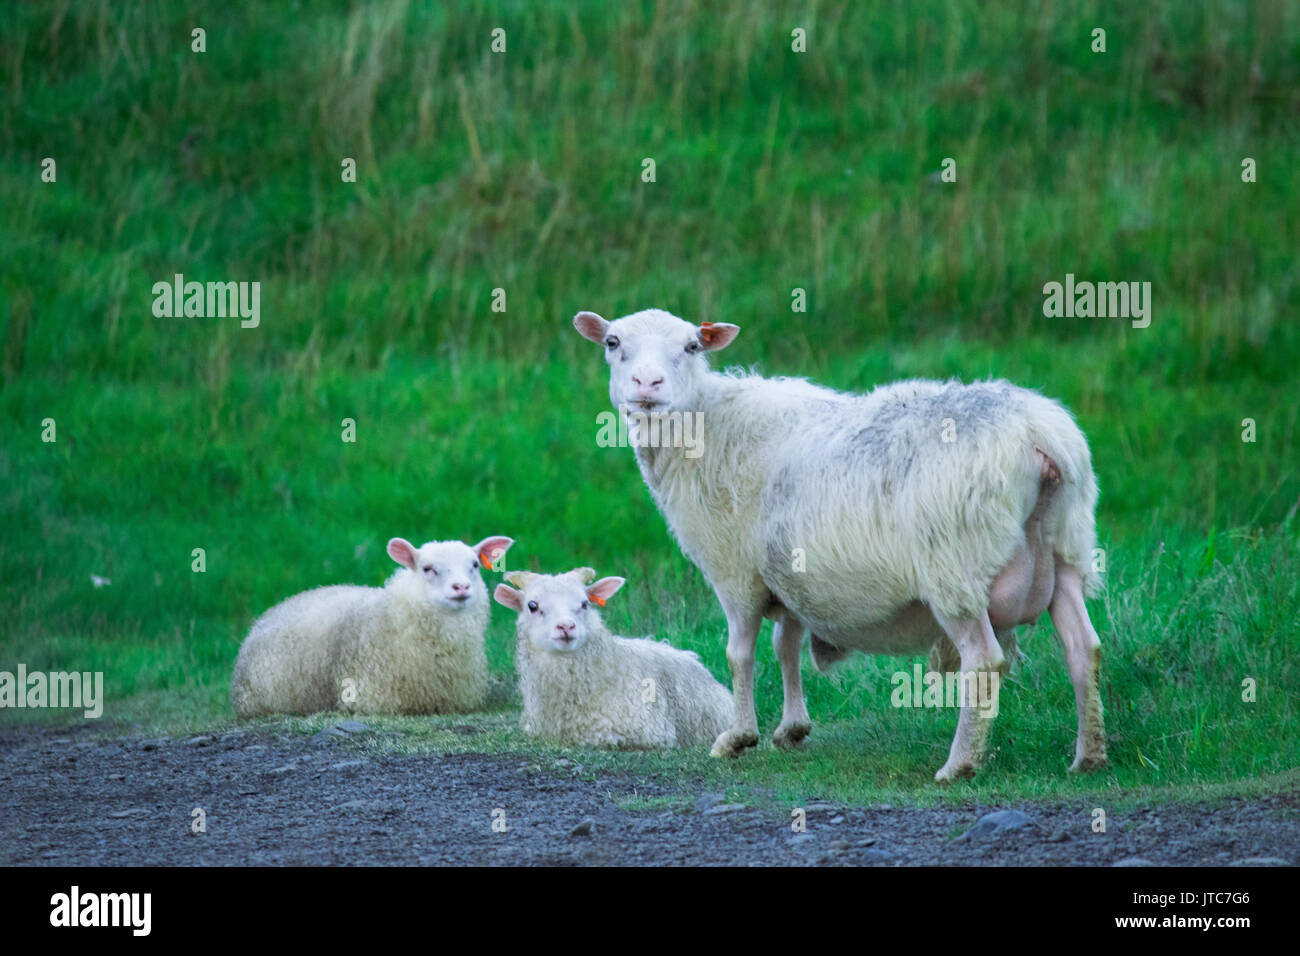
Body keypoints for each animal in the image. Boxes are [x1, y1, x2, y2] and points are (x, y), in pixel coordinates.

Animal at [573, 307, 1107, 781]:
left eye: (691, 346)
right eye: (613, 343)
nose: (647, 385)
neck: (704, 425)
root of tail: (1040, 437)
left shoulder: (736, 574)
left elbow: (739, 653)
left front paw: (737, 737)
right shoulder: (787, 573)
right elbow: (785, 645)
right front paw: (792, 729)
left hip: (955, 568)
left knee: (984, 661)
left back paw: (959, 765)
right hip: (1067, 551)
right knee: (1085, 647)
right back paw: (1089, 756)